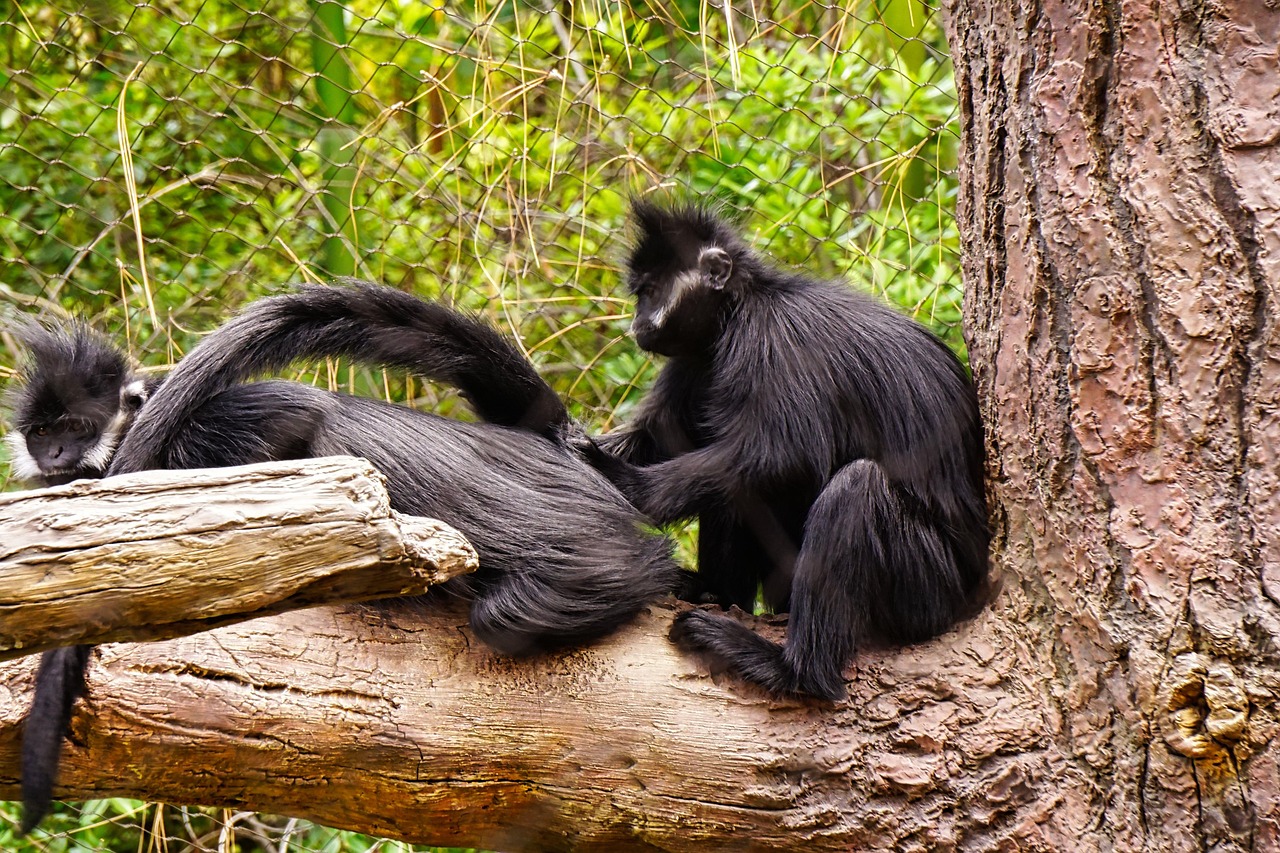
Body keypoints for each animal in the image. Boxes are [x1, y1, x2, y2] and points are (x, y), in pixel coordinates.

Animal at [579, 201, 991, 701]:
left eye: (652, 292)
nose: (638, 324)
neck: (739, 310)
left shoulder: (775, 339)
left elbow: (784, 458)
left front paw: (621, 481)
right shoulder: (699, 357)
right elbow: (657, 440)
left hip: (930, 588)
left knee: (856, 487)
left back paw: (794, 671)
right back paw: (716, 593)